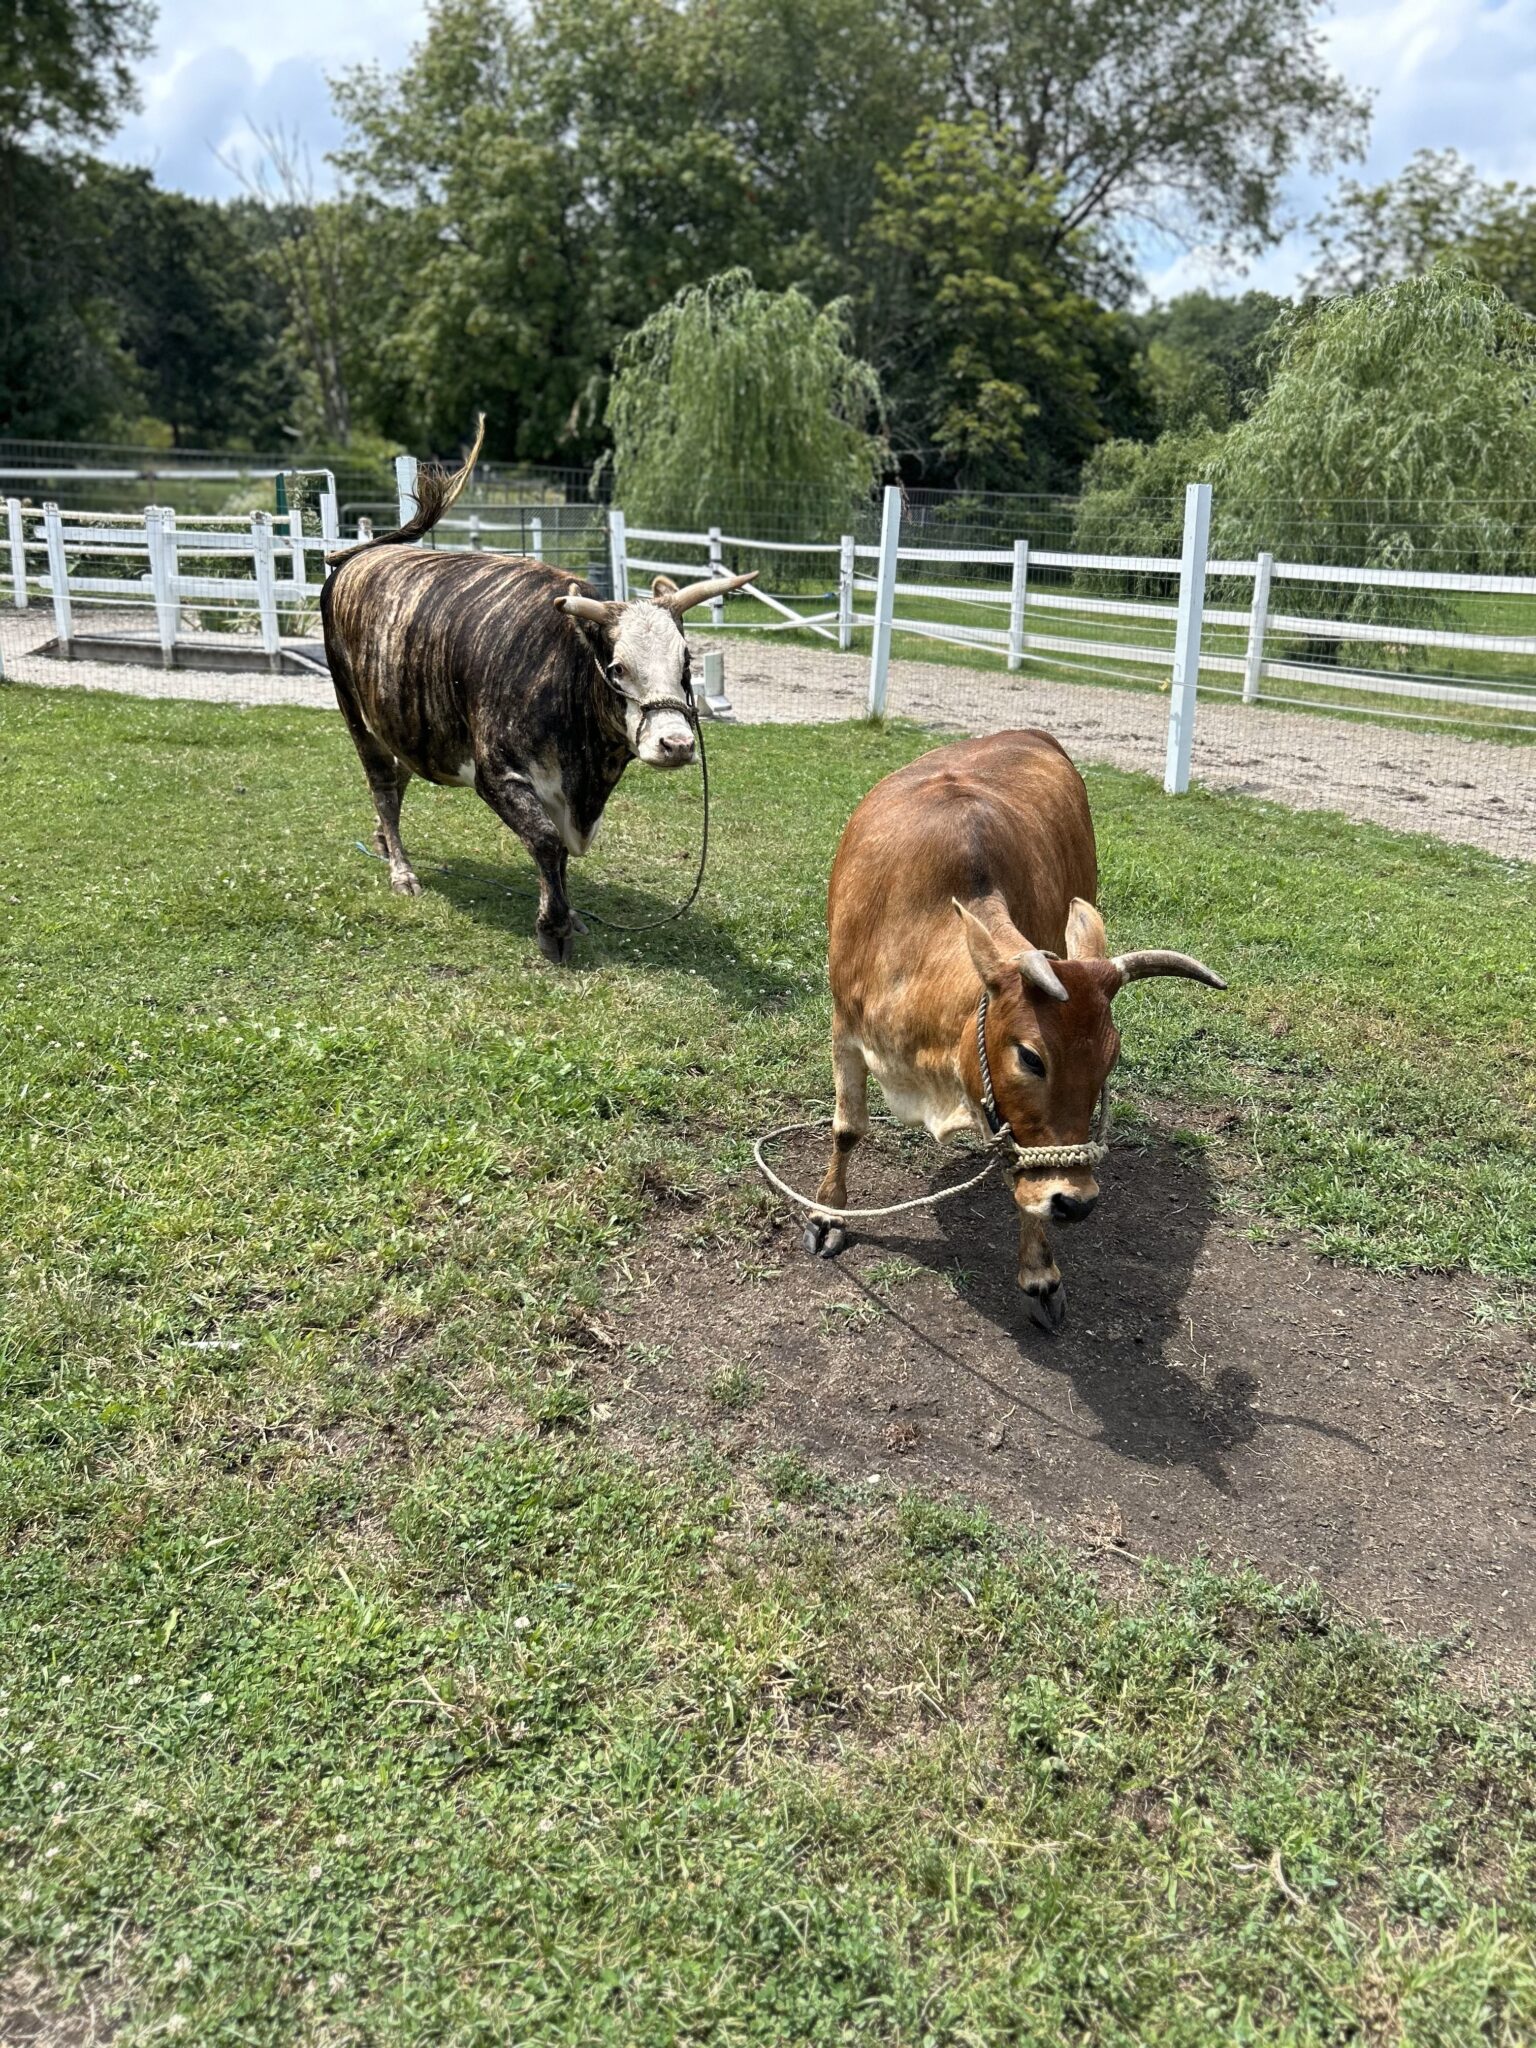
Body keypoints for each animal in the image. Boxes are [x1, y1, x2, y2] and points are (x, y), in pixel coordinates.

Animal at [321, 421, 756, 961]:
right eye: (617, 668)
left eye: (687, 664)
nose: (676, 744)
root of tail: (360, 556)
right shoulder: (498, 775)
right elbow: (546, 842)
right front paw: (553, 927)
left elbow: (561, 853)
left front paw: (571, 914)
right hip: (355, 715)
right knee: (383, 786)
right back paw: (401, 871)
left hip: (398, 723)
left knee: (397, 781)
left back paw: (382, 841)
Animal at [811, 730, 1226, 1330]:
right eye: (1031, 1057)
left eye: (1110, 1061)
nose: (1076, 1202)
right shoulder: (845, 1028)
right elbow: (847, 1128)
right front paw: (828, 1212)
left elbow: (1021, 1172)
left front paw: (1039, 1272)